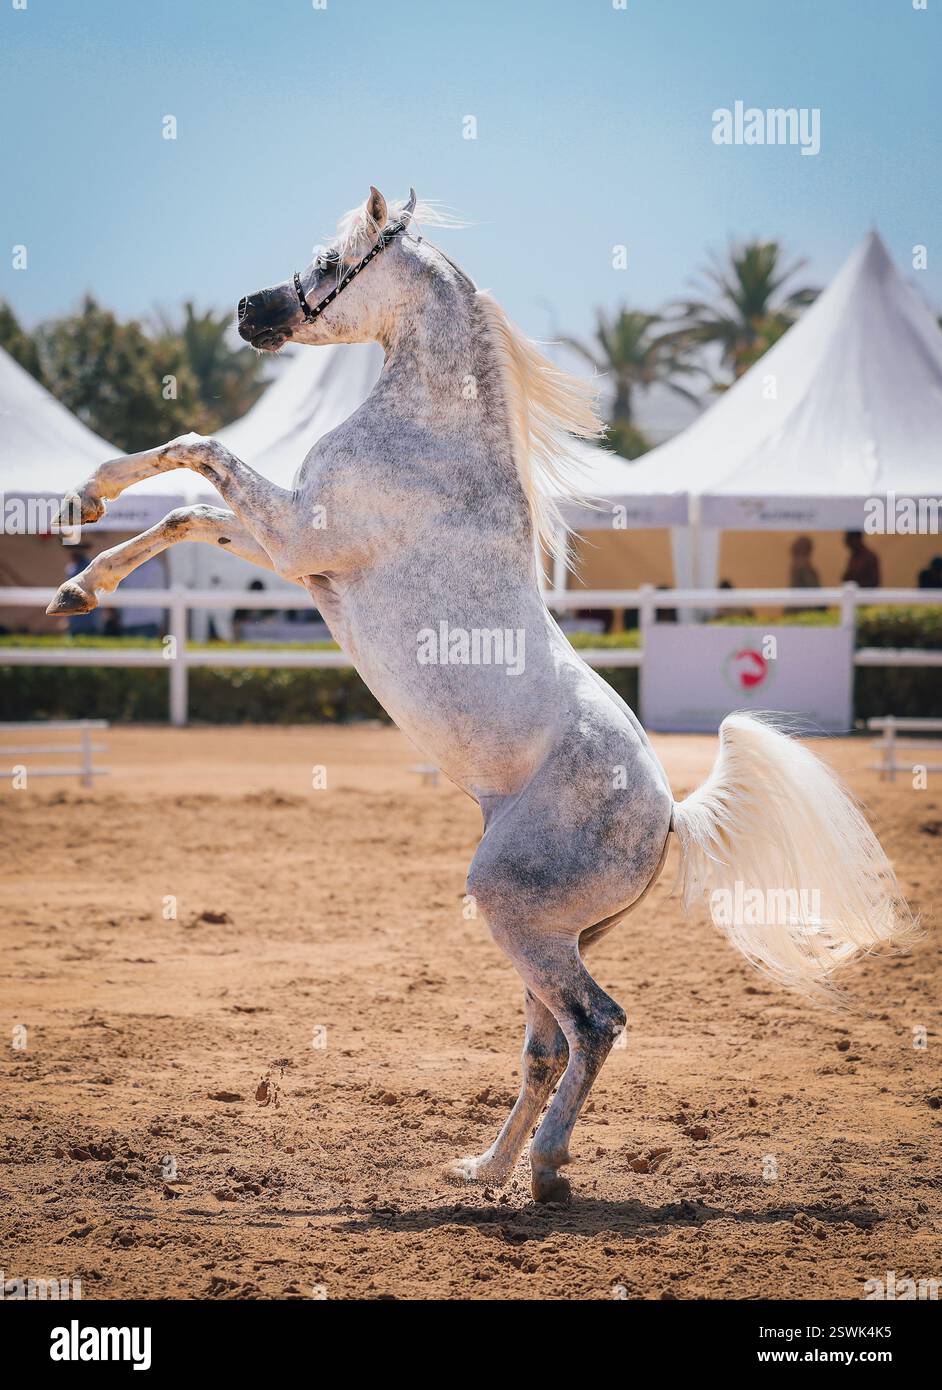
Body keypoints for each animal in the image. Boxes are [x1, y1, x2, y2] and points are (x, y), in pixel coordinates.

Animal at [47, 186, 912, 1204]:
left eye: (330, 261)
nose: (249, 313)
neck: (431, 438)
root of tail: (670, 815)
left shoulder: (298, 539)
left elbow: (197, 454)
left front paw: (85, 512)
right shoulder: (291, 552)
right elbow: (190, 509)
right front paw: (79, 575)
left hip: (511, 910)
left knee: (596, 1026)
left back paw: (544, 1170)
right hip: (546, 933)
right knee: (547, 1046)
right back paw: (485, 1170)